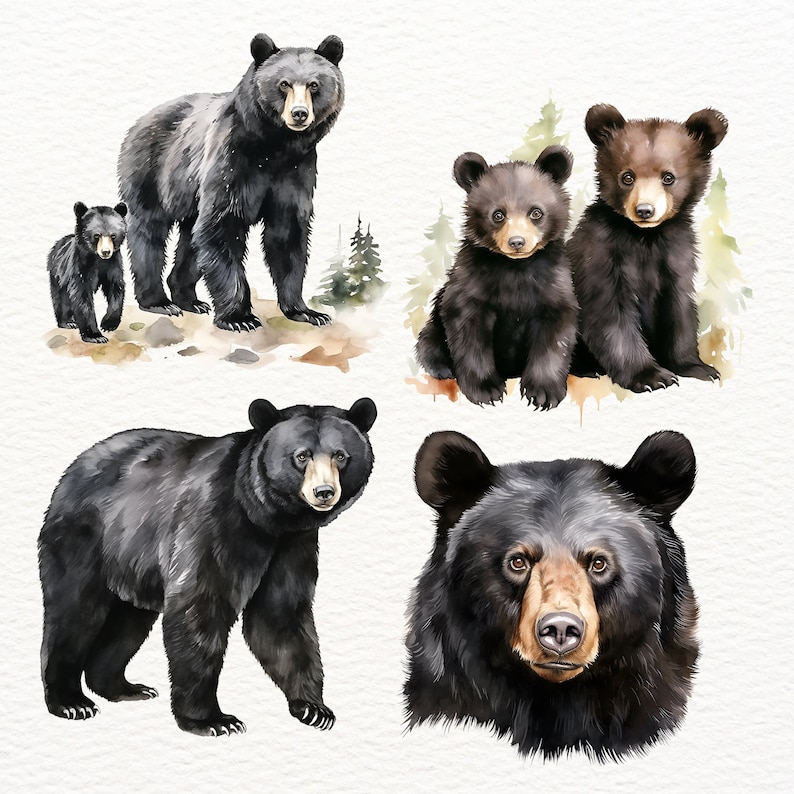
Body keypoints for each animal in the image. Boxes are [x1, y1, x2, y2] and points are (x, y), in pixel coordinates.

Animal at [38, 397, 377, 736]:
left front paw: (313, 708)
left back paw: (123, 687)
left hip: (132, 563)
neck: (265, 516)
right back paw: (71, 701)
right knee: (75, 612)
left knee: (128, 621)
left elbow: (281, 615)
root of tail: (74, 467)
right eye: (302, 456)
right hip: (85, 537)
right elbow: (200, 606)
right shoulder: (212, 522)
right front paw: (213, 720)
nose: (324, 492)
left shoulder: (291, 547)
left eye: (340, 455)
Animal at [47, 201, 127, 343]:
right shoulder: (79, 265)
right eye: (97, 235)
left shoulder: (114, 263)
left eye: (113, 235)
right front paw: (96, 336)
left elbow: (115, 288)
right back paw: (68, 322)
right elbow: (81, 296)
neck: (98, 260)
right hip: (58, 274)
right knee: (61, 298)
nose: (106, 252)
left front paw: (108, 324)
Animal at [117, 33, 344, 331]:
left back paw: (189, 300)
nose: (299, 114)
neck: (275, 146)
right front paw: (240, 317)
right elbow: (223, 225)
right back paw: (158, 301)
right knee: (149, 231)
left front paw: (306, 311)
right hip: (151, 171)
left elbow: (287, 233)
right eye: (283, 84)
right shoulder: (232, 161)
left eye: (314, 85)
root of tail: (139, 121)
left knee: (191, 237)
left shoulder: (296, 172)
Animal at [415, 147, 579, 409]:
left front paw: (543, 393)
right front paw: (486, 390)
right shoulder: (471, 283)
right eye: (498, 215)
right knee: (428, 343)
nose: (517, 242)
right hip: (434, 327)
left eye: (536, 212)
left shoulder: (554, 283)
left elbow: (555, 333)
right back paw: (441, 368)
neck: (515, 268)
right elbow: (468, 332)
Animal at [567, 104, 728, 392]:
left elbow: (679, 310)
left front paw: (698, 367)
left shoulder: (676, 255)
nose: (644, 210)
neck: (645, 238)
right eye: (627, 176)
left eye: (668, 177)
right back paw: (586, 369)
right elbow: (610, 315)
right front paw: (652, 376)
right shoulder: (600, 254)